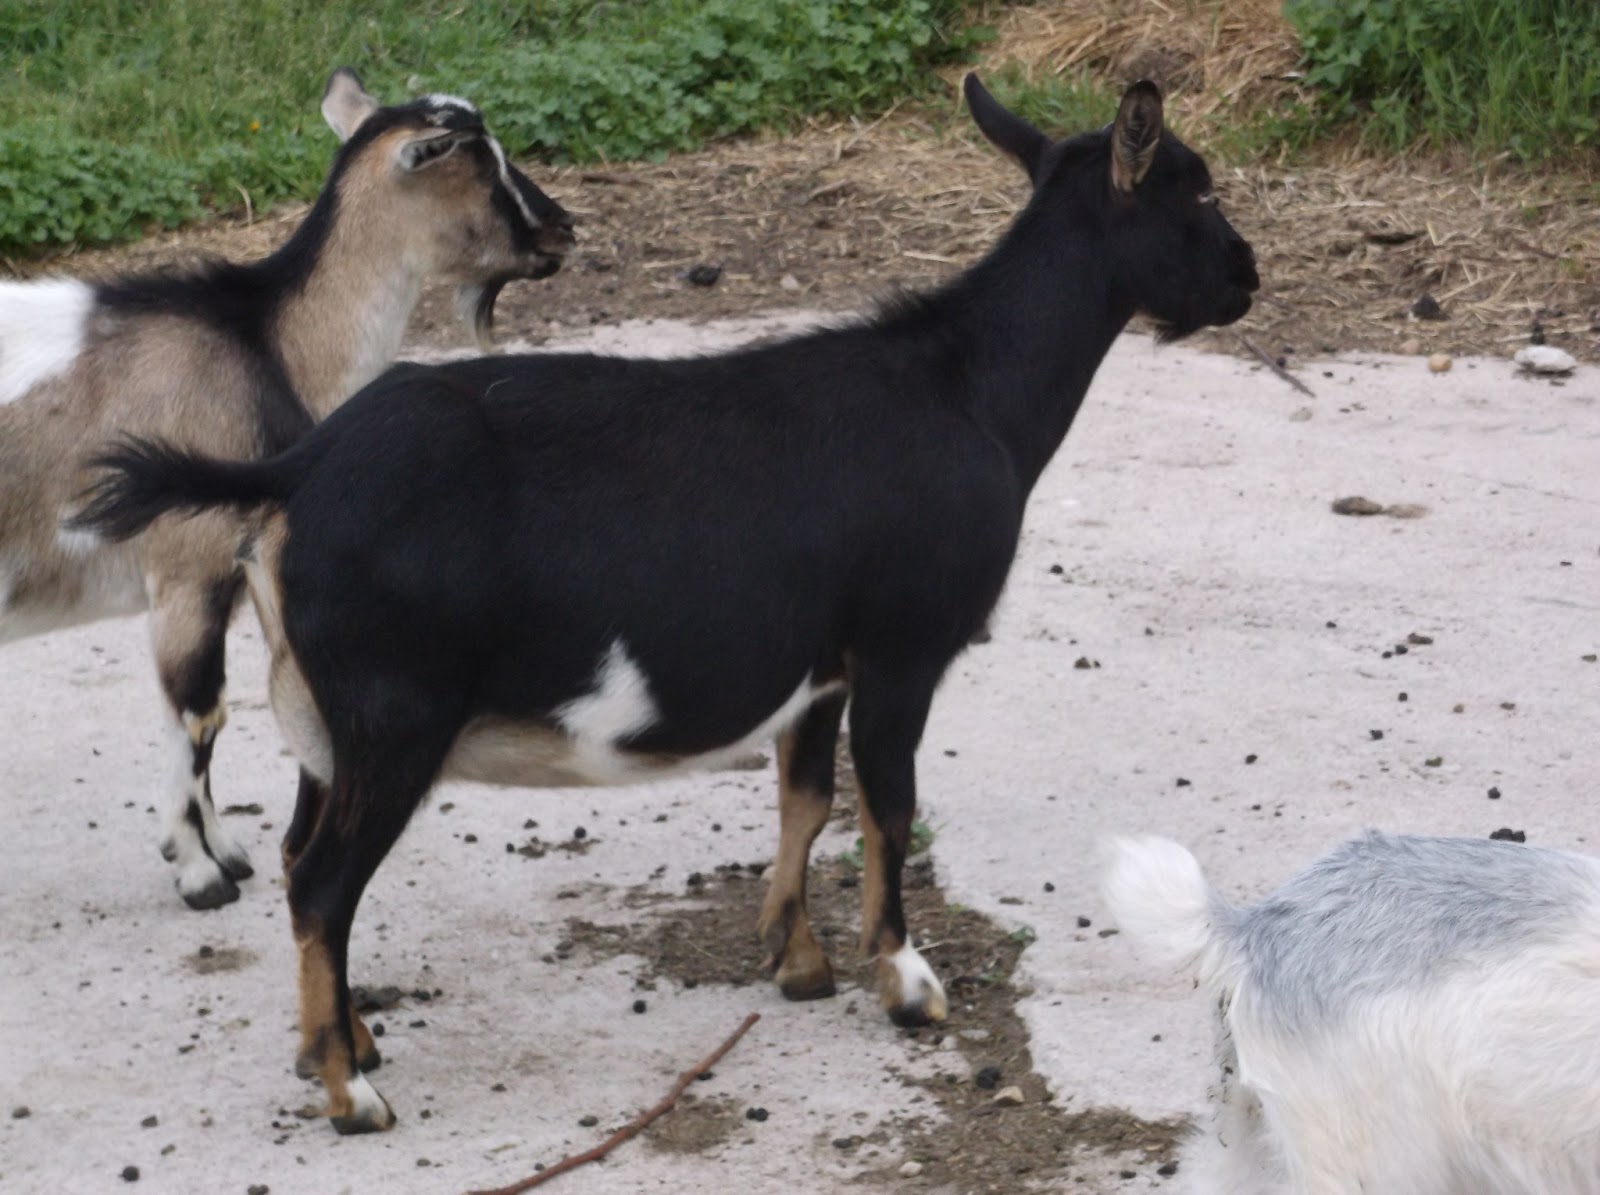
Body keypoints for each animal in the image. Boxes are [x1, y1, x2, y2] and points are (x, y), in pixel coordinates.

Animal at [1, 68, 573, 910]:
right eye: (482, 164)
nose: (563, 229)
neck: (266, 343)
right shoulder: (187, 566)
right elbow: (200, 714)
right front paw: (201, 873)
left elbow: (192, 719)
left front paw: (220, 850)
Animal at [74, 75, 1257, 1132]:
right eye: (1195, 189)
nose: (1246, 276)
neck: (966, 387)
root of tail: (296, 472)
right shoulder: (901, 646)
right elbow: (888, 806)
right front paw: (907, 982)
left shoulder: (818, 662)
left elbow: (804, 798)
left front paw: (796, 958)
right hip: (393, 711)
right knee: (322, 883)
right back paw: (351, 1095)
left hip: (330, 719)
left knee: (292, 858)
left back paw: (349, 1039)